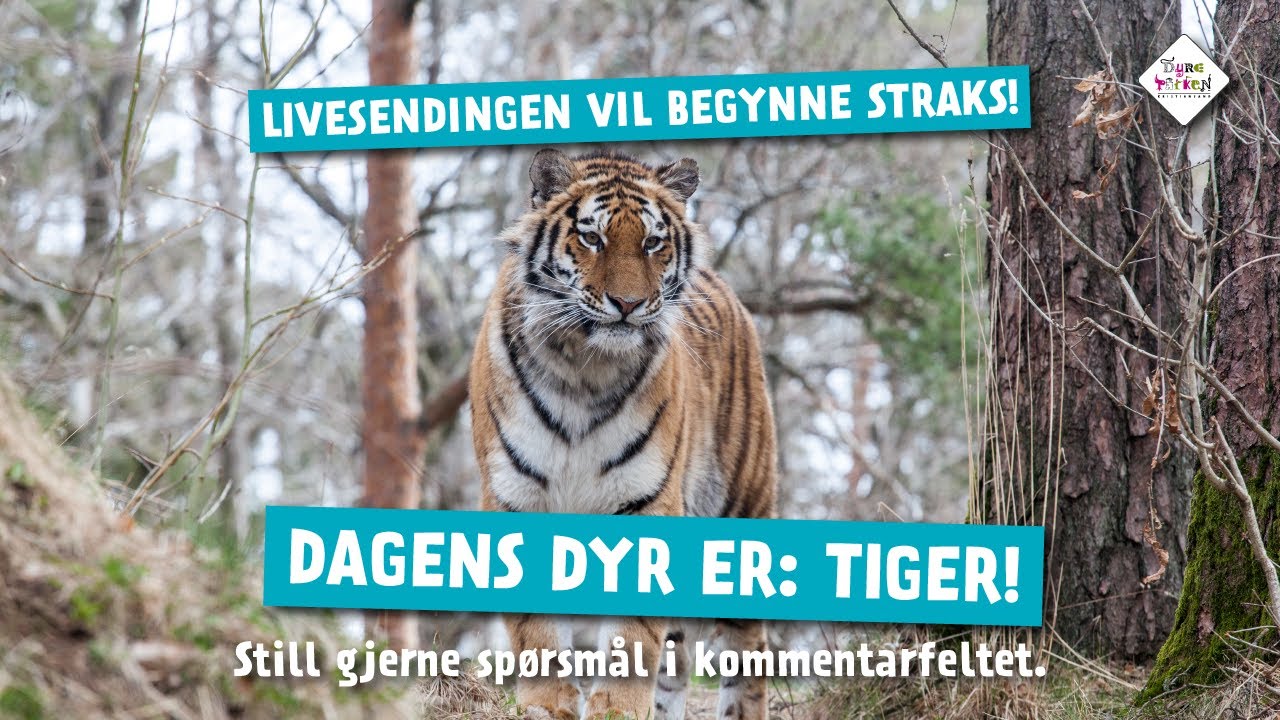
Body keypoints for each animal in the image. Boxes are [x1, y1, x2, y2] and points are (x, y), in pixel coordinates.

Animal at [469, 148, 777, 720]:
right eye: (592, 237)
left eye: (653, 242)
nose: (629, 303)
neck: (582, 366)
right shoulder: (517, 494)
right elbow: (536, 633)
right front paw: (547, 704)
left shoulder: (647, 499)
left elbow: (634, 637)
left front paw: (616, 707)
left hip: (744, 501)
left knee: (746, 653)